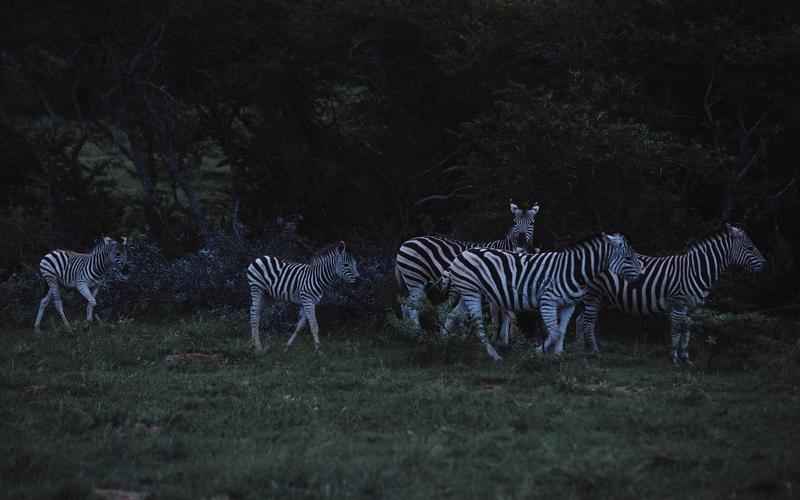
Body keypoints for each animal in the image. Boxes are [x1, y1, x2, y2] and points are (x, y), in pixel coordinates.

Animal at [392, 201, 536, 330]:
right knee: (411, 307)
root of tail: (405, 243)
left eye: (532, 223)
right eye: (515, 222)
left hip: (417, 282)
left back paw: (407, 330)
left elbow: (508, 319)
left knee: (406, 305)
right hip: (415, 278)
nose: (521, 240)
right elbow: (498, 318)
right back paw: (417, 332)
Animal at [434, 232, 640, 362]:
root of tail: (462, 253)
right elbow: (554, 332)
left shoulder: (569, 305)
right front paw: (538, 352)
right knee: (478, 325)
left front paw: (558, 356)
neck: (573, 270)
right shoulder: (548, 301)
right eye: (629, 258)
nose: (641, 275)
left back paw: (444, 344)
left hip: (468, 293)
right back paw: (494, 356)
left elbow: (562, 331)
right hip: (471, 293)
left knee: (451, 316)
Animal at [572, 225, 764, 366]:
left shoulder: (691, 307)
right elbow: (677, 330)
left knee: (581, 321)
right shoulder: (678, 303)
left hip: (596, 297)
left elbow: (687, 331)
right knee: (587, 323)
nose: (766, 264)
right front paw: (675, 359)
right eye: (750, 247)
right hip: (593, 295)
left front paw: (686, 359)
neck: (695, 270)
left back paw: (582, 351)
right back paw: (593, 353)